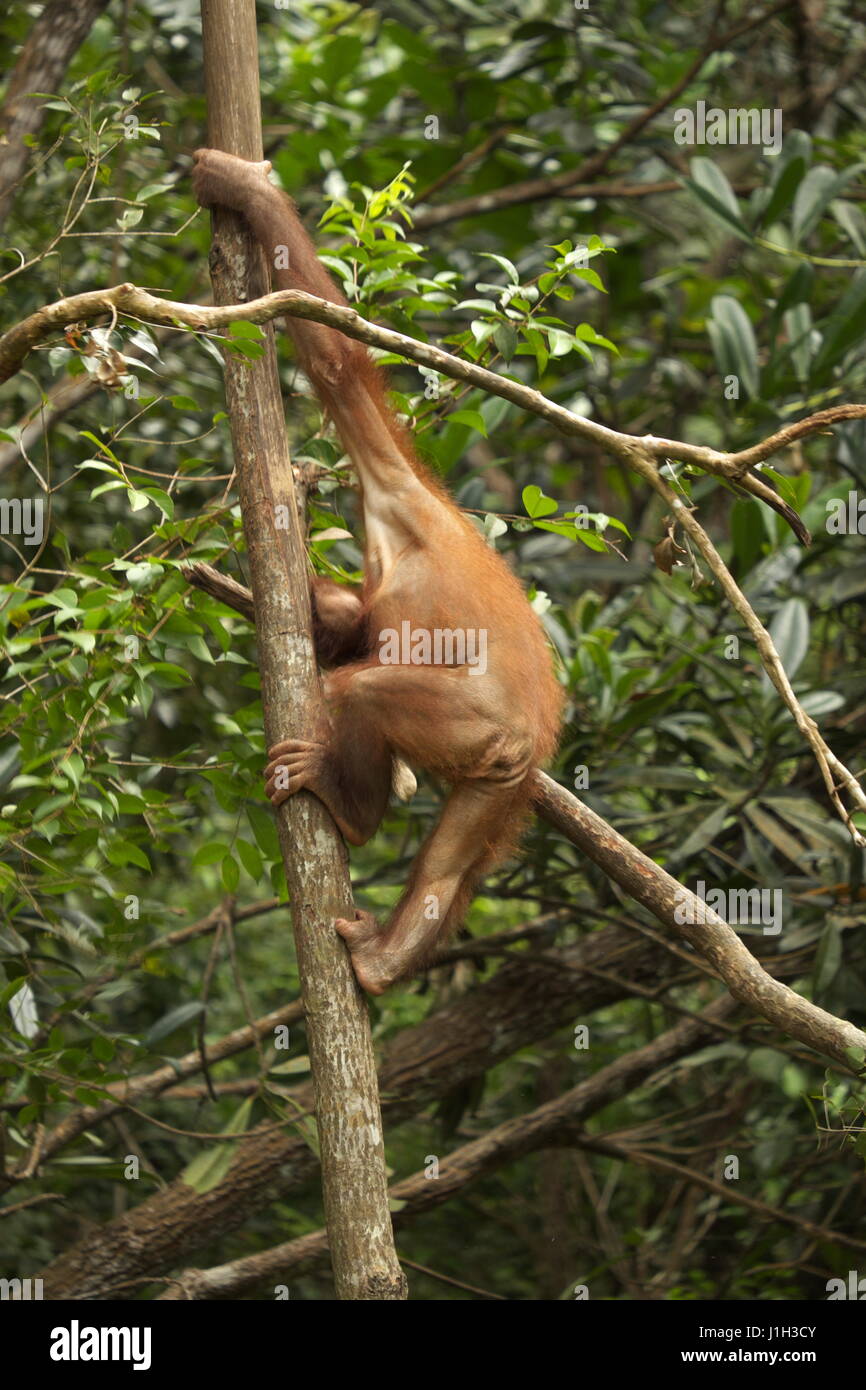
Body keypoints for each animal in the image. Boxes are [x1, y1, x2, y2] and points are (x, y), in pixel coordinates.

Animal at [192, 149, 563, 995]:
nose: (328, 635)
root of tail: (534, 739)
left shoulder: (393, 488)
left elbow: (337, 361)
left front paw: (244, 188)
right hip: (499, 776)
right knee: (451, 864)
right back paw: (388, 956)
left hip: (476, 725)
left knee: (362, 696)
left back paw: (350, 810)